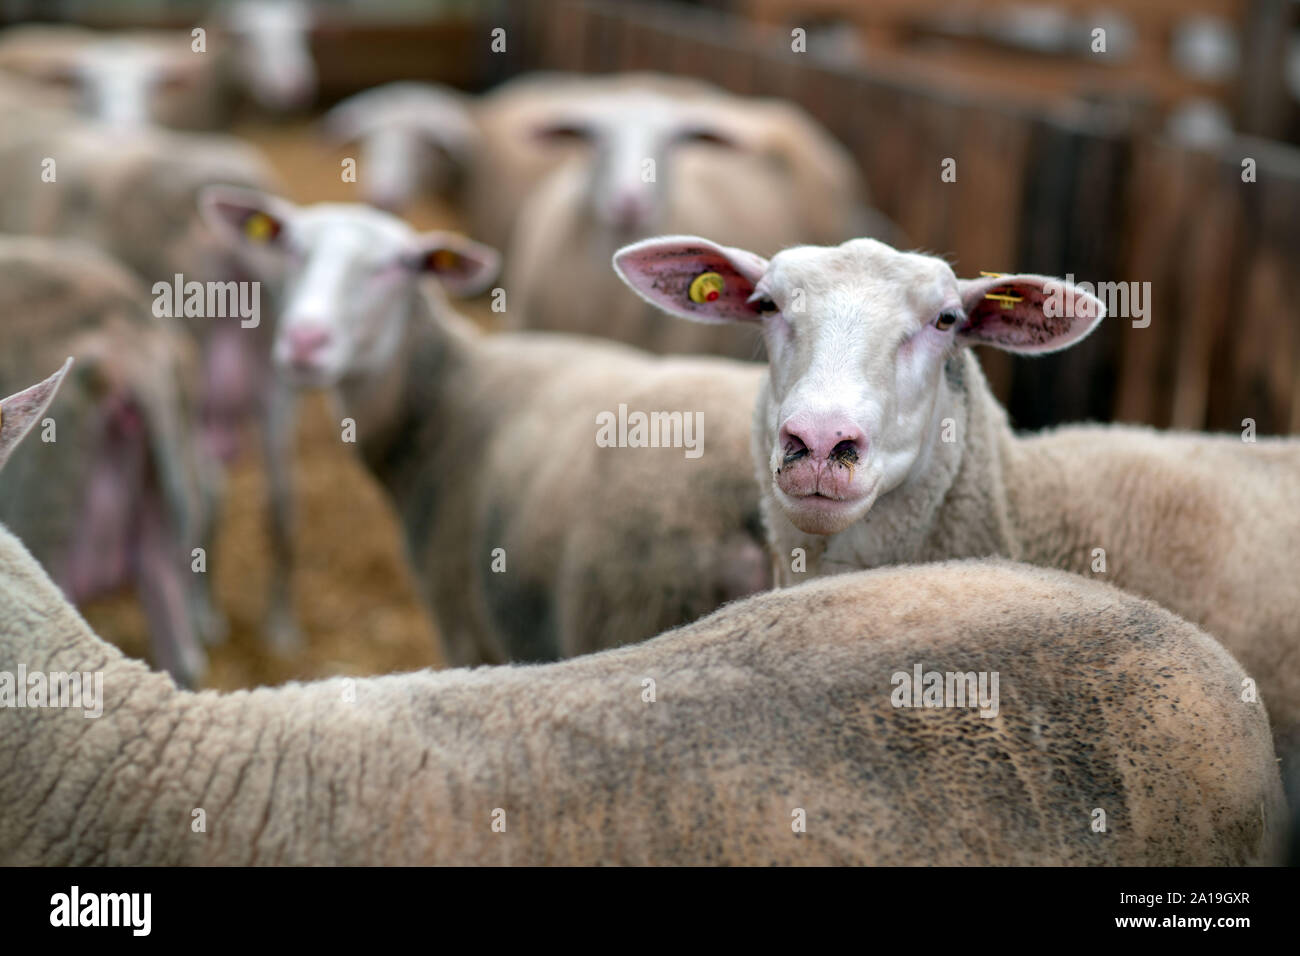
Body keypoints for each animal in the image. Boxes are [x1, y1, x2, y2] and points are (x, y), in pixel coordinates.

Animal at [198, 189, 769, 665]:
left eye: (399, 266)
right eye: (293, 249)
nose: (304, 342)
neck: (444, 397)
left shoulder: (462, 625)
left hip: (629, 604)